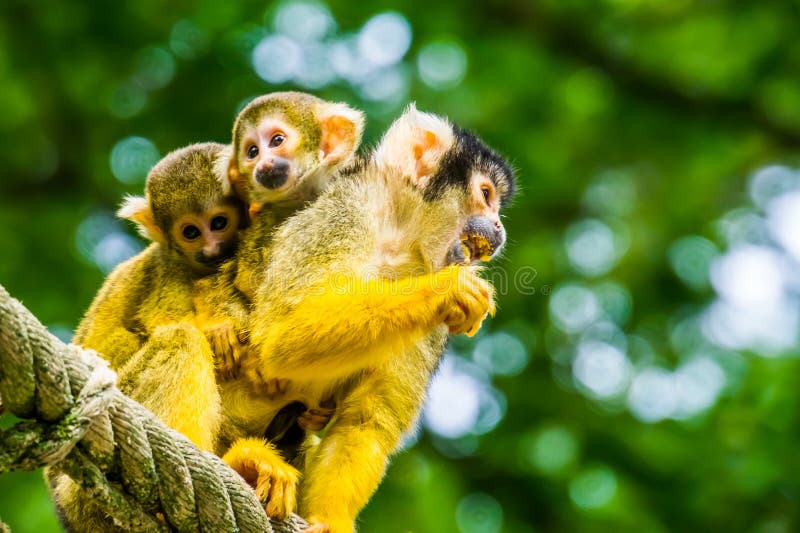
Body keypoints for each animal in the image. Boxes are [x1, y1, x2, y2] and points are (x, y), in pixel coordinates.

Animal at [213, 104, 516, 532]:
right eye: (486, 195)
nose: (499, 226)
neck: (399, 239)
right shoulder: (341, 213)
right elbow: (282, 336)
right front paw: (448, 290)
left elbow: (367, 420)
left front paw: (330, 519)